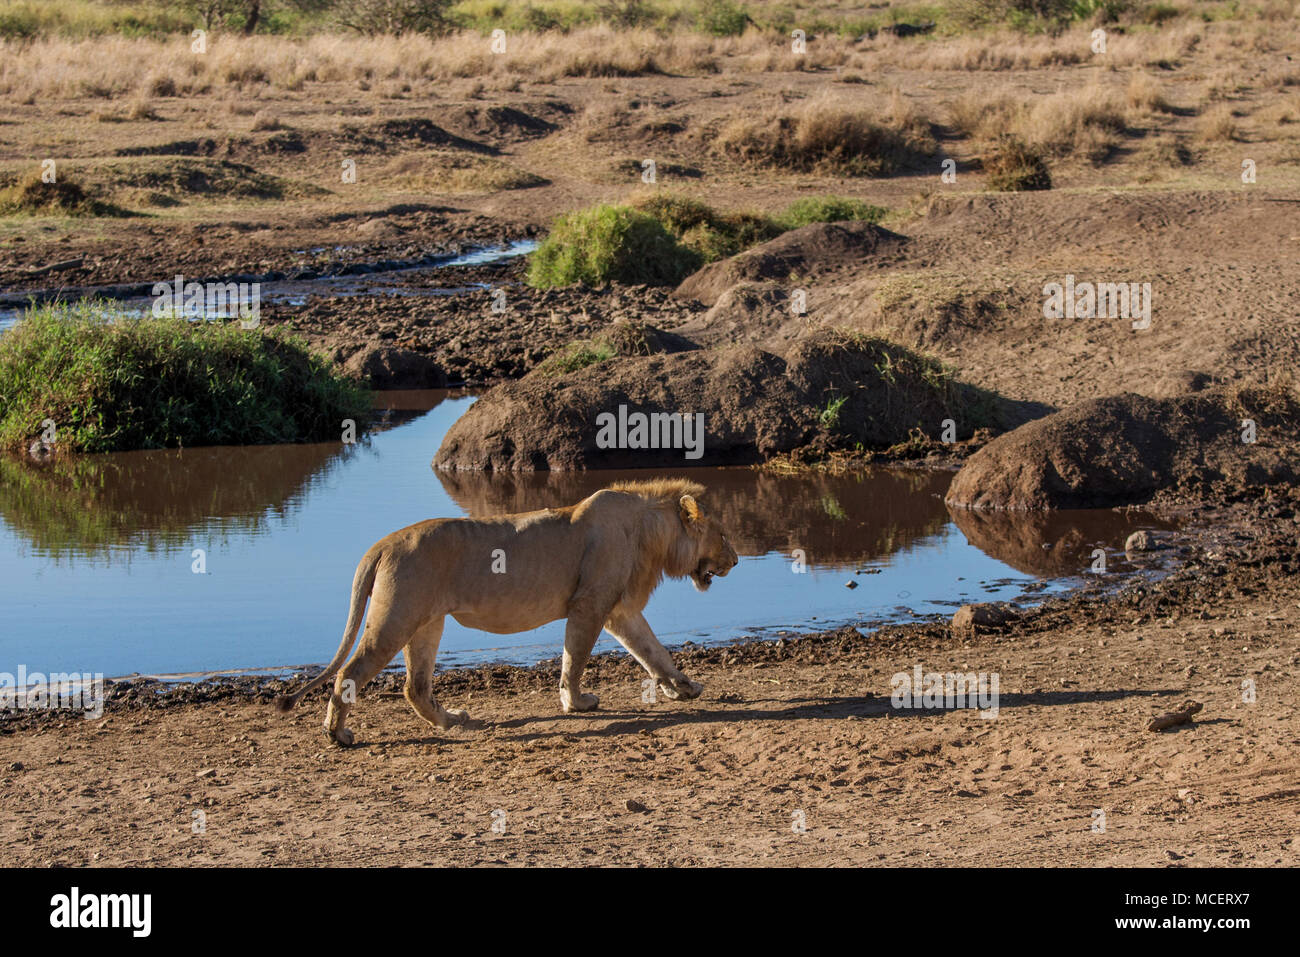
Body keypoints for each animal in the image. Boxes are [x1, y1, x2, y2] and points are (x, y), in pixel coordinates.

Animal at [274, 478, 738, 746]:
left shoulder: (618, 611)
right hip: (394, 618)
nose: (736, 561)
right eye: (723, 534)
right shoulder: (589, 604)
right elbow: (576, 657)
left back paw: (452, 721)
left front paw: (683, 687)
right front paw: (576, 702)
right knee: (349, 673)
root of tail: (383, 543)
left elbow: (654, 652)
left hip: (426, 622)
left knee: (415, 687)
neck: (652, 536)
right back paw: (338, 734)